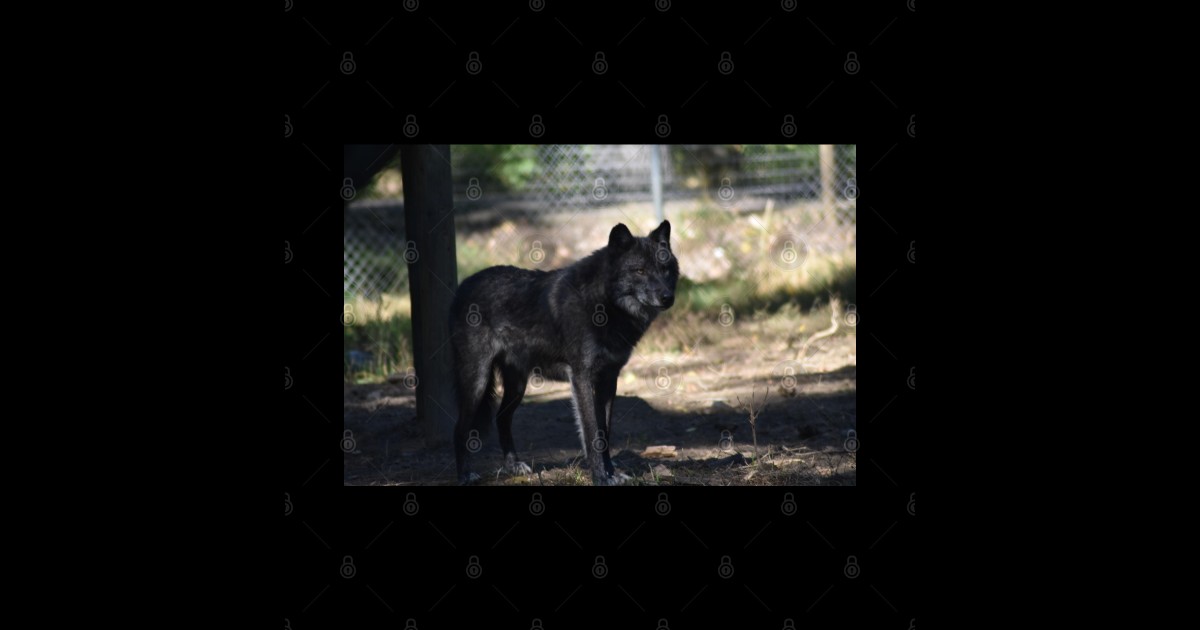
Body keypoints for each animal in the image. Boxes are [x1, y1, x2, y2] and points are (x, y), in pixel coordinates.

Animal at [449, 220, 679, 485]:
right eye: (640, 271)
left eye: (664, 269)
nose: (667, 297)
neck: (604, 305)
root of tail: (463, 286)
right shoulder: (581, 378)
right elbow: (591, 433)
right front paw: (600, 477)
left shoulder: (608, 380)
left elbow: (605, 432)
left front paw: (612, 473)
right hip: (477, 381)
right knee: (459, 428)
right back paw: (465, 475)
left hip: (517, 386)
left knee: (501, 418)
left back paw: (513, 466)